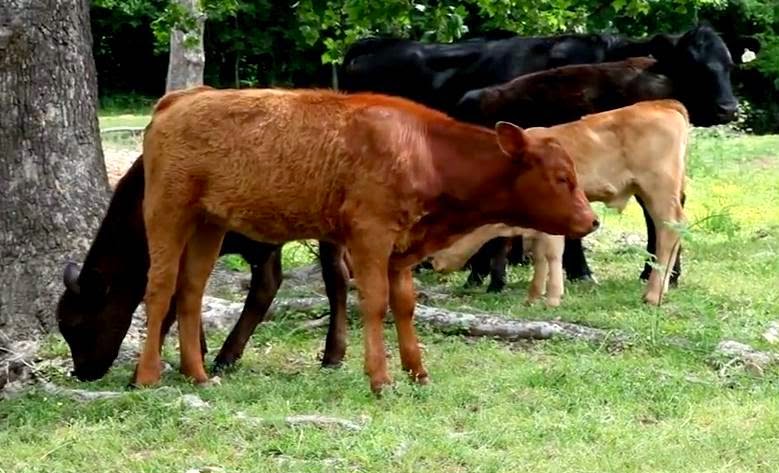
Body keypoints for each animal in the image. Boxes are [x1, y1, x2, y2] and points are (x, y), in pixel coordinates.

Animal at [57, 156, 351, 382]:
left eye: (79, 325)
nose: (82, 372)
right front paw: (197, 350)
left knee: (336, 278)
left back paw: (332, 356)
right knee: (267, 286)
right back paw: (227, 356)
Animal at [136, 86, 597, 394]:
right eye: (561, 177)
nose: (592, 221)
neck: (423, 152)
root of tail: (182, 97)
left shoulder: (403, 248)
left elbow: (405, 304)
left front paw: (417, 371)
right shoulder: (369, 236)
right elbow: (375, 303)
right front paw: (380, 378)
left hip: (209, 224)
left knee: (191, 291)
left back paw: (198, 374)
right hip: (167, 211)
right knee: (160, 288)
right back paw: (147, 376)